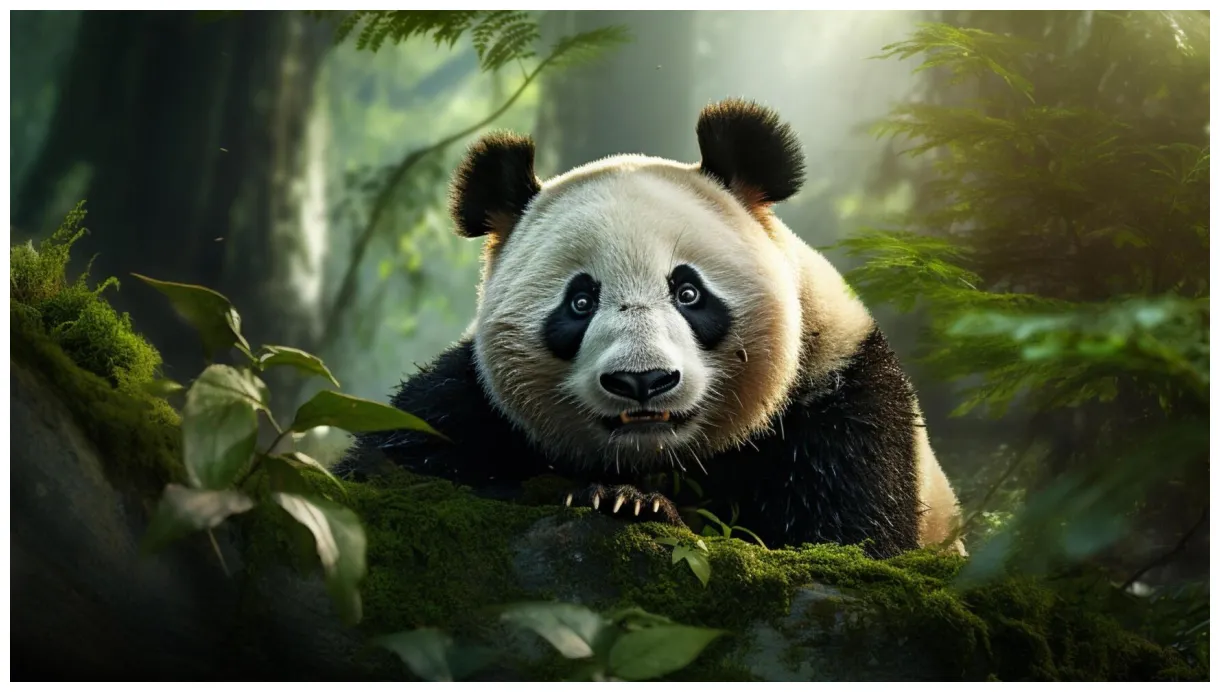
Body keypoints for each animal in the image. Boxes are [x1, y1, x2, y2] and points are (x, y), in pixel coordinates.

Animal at [338, 98, 965, 559]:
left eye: (688, 292)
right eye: (580, 302)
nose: (643, 381)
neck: (657, 455)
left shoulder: (836, 389)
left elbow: (843, 535)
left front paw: (638, 505)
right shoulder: (469, 401)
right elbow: (396, 470)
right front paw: (616, 498)